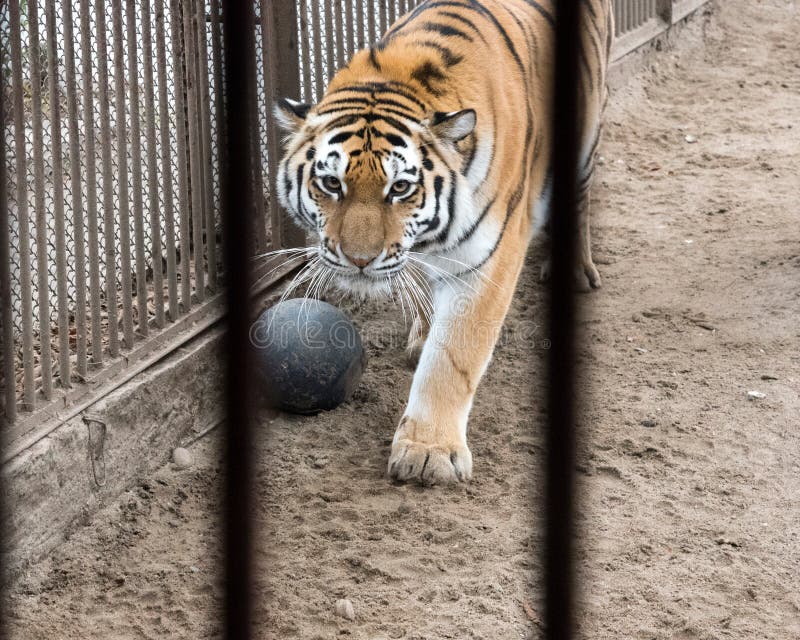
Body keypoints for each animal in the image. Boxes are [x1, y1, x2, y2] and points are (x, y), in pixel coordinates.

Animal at [275, 0, 613, 485]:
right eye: (331, 183)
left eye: (400, 188)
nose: (359, 259)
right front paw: (422, 331)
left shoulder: (489, 259)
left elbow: (453, 357)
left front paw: (428, 452)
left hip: (585, 132)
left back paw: (575, 270)